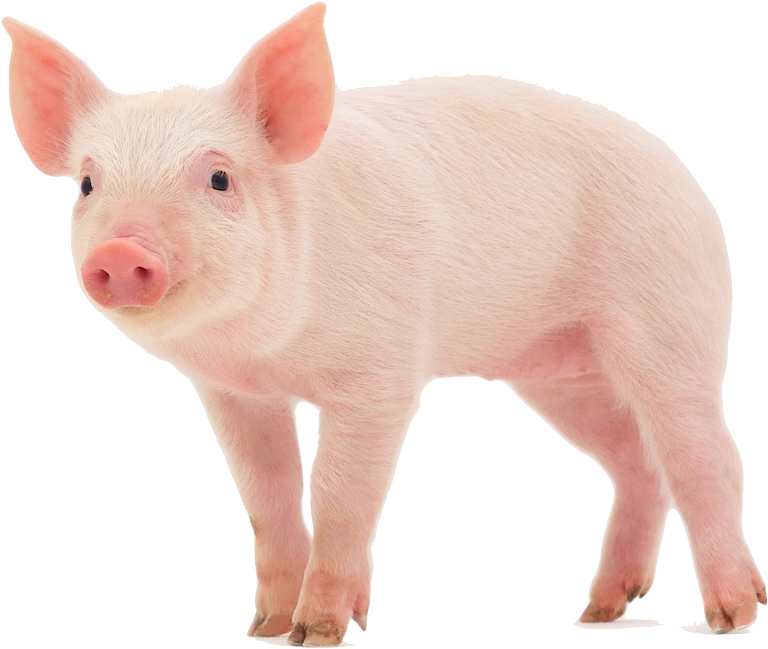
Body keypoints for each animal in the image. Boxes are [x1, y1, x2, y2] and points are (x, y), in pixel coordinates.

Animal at [3, 2, 764, 643]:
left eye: (219, 178)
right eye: (88, 184)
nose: (119, 251)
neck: (269, 350)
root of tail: (688, 179)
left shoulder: (380, 374)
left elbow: (339, 490)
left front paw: (316, 633)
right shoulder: (233, 391)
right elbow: (267, 491)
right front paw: (265, 628)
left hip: (671, 319)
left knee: (708, 455)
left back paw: (732, 614)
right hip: (558, 372)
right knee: (638, 462)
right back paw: (597, 611)